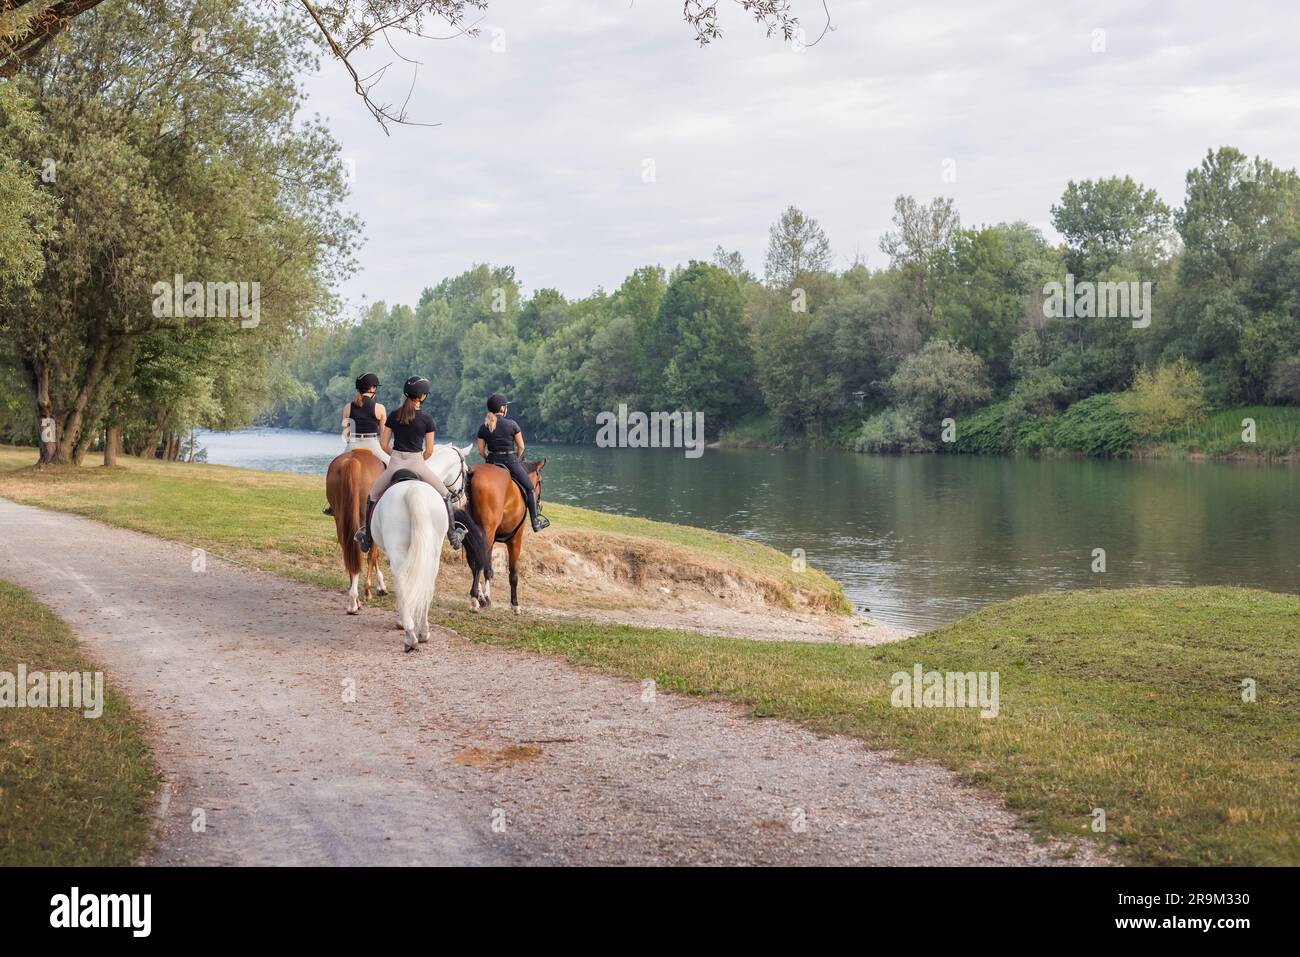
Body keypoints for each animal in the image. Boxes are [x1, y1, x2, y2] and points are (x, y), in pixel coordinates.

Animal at [325, 448, 388, 614]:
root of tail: (353, 460)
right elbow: (374, 555)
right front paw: (379, 587)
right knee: (364, 554)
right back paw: (361, 595)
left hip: (341, 518)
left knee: (349, 552)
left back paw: (354, 600)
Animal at [370, 444, 472, 651]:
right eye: (466, 471)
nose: (463, 500)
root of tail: (412, 491)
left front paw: (401, 621)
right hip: (431, 552)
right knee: (427, 584)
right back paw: (422, 632)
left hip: (399, 551)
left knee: (403, 582)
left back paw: (411, 634)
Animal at [460, 458, 545, 616]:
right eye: (540, 481)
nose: (540, 505)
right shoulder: (515, 540)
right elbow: (513, 574)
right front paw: (515, 604)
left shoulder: (491, 539)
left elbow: (488, 568)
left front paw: (486, 597)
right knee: (478, 562)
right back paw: (475, 600)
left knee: (473, 562)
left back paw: (478, 597)